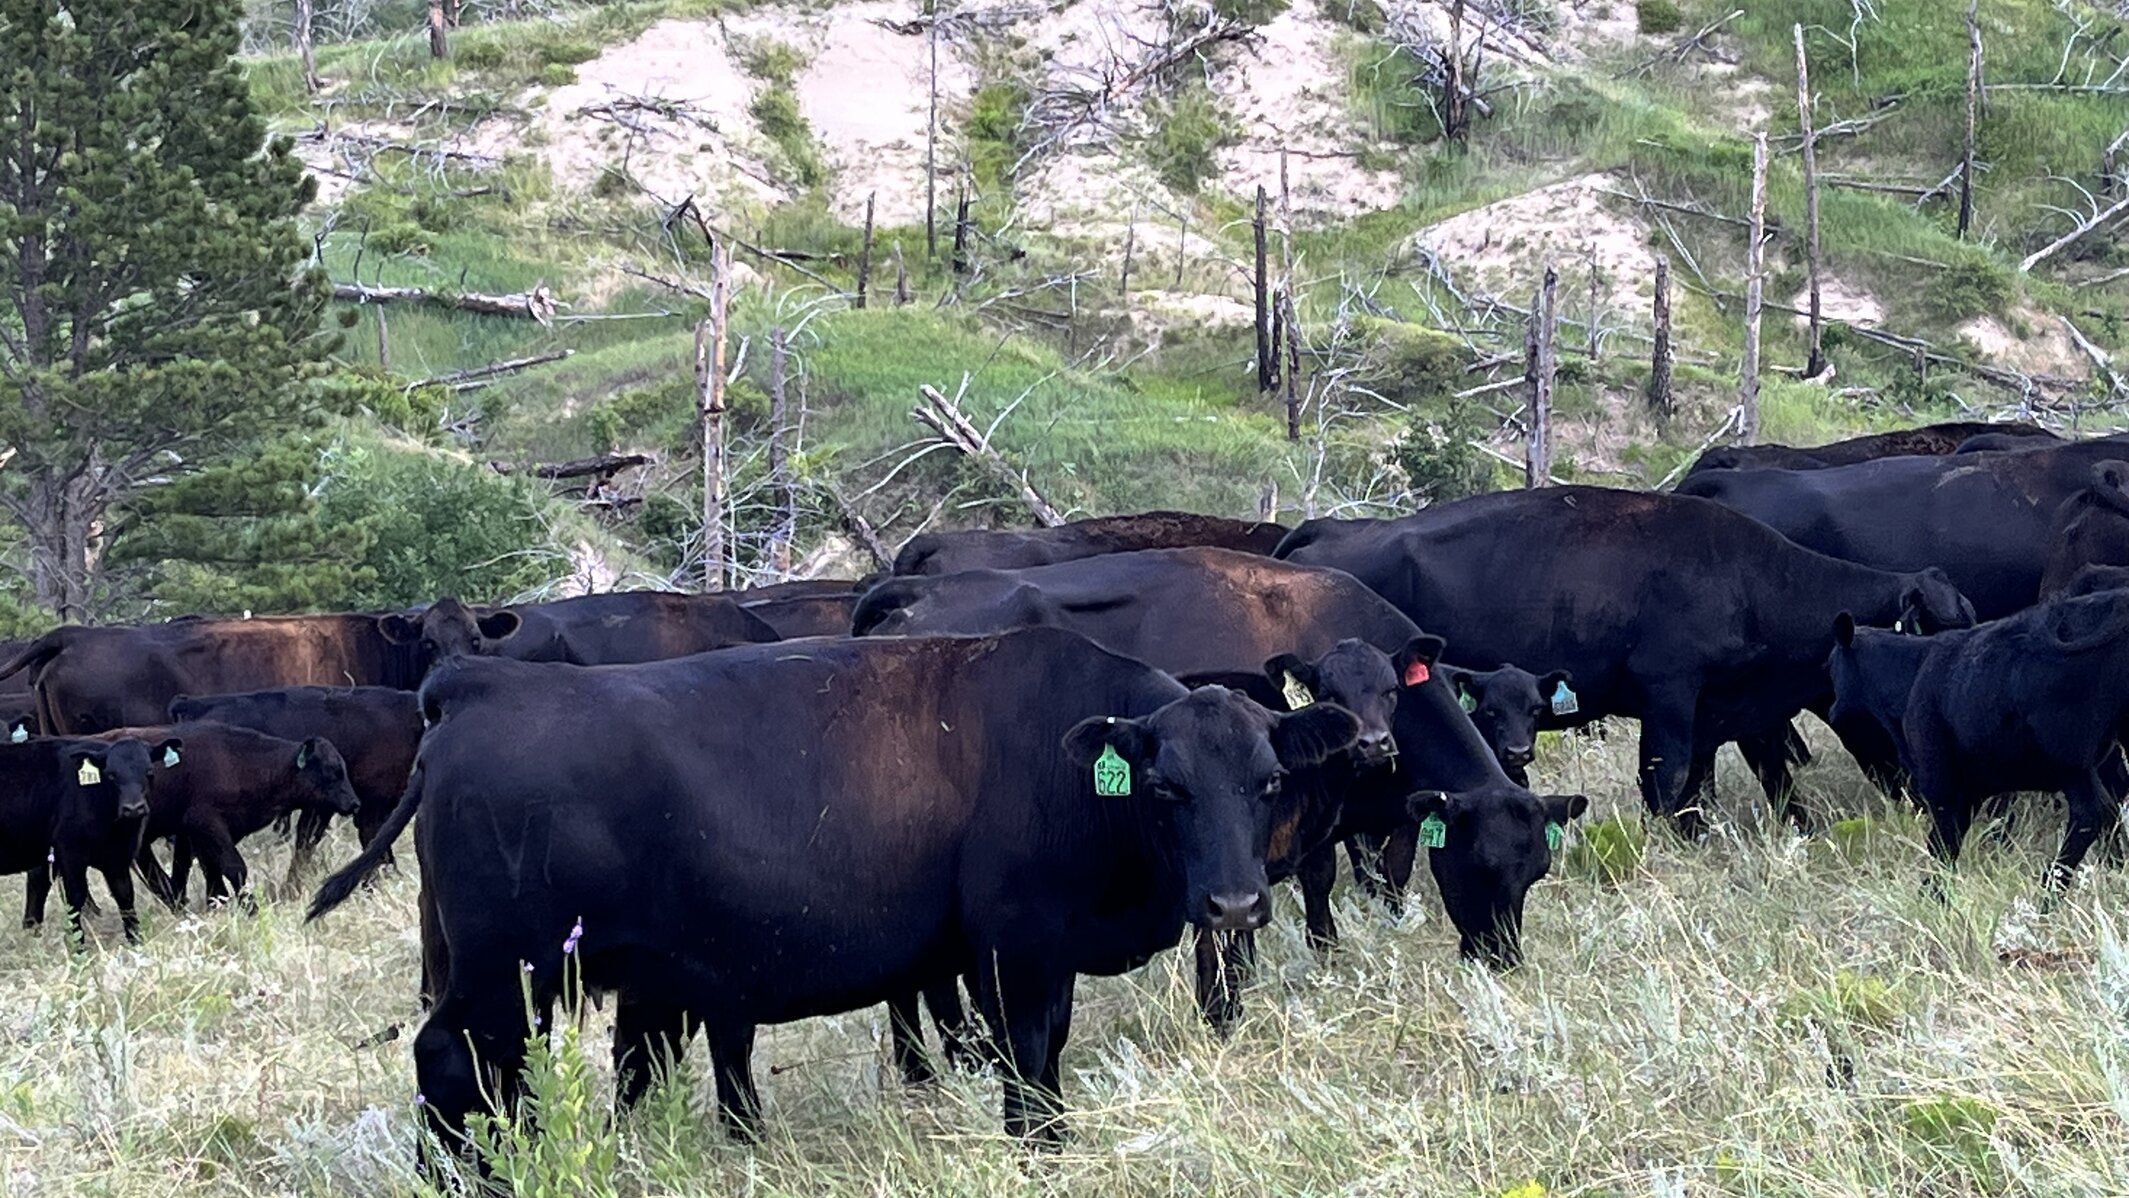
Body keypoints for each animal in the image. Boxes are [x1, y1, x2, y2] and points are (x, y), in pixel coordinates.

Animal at [0, 736, 176, 943]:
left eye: (149, 771)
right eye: (111, 775)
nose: (133, 808)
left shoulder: (116, 857)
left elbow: (124, 894)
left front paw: (135, 939)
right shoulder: (69, 853)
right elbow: (75, 899)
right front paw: (78, 945)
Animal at [94, 723, 360, 909]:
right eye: (332, 771)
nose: (354, 803)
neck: (238, 760)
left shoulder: (202, 835)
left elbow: (211, 874)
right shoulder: (207, 825)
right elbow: (234, 868)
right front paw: (251, 908)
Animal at [307, 629, 1360, 1149]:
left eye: (1269, 780)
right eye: (1165, 787)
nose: (1233, 906)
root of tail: (476, 683)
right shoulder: (1017, 949)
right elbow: (1029, 1055)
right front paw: (1043, 1145)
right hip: (505, 972)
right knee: (455, 1064)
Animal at [1276, 486, 1975, 834]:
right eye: (1922, 643)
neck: (1754, 583)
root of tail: (1330, 528)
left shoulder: (1731, 713)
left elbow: (1739, 784)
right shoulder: (1671, 698)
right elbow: (1667, 782)